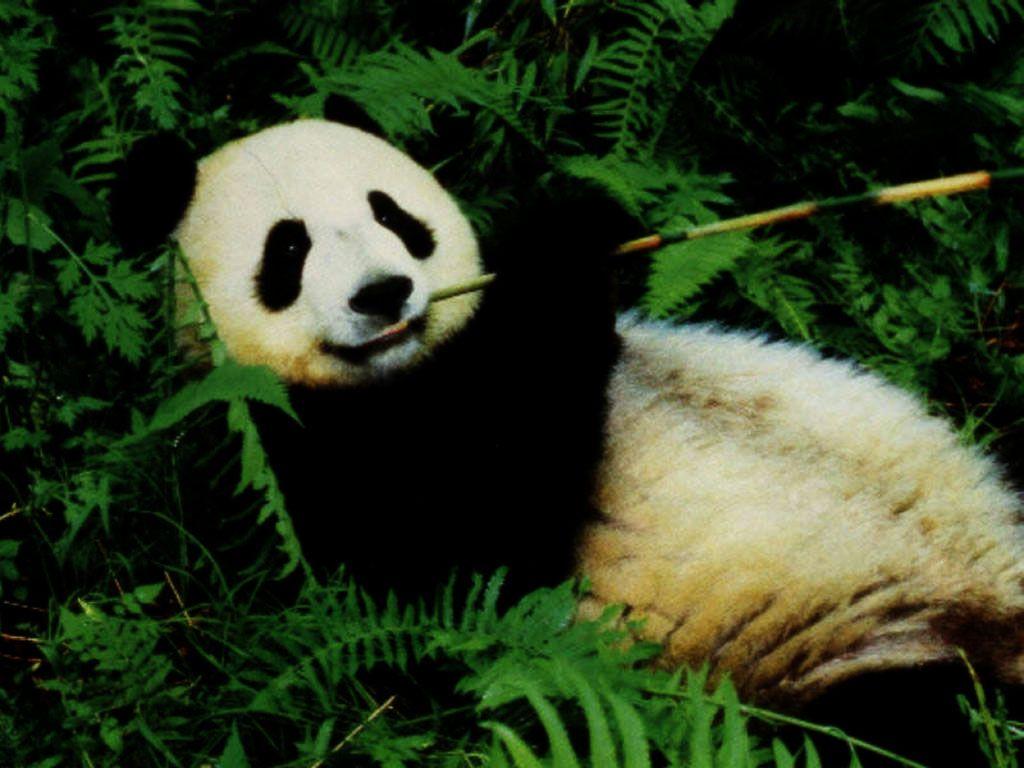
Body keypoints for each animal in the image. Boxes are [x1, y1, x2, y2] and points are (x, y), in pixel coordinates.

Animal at [114, 100, 1024, 765]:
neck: (416, 371)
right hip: (842, 654)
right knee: (894, 732)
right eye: (289, 247)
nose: (383, 292)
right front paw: (553, 248)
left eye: (394, 216)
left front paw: (587, 219)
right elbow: (475, 539)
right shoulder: (300, 477)